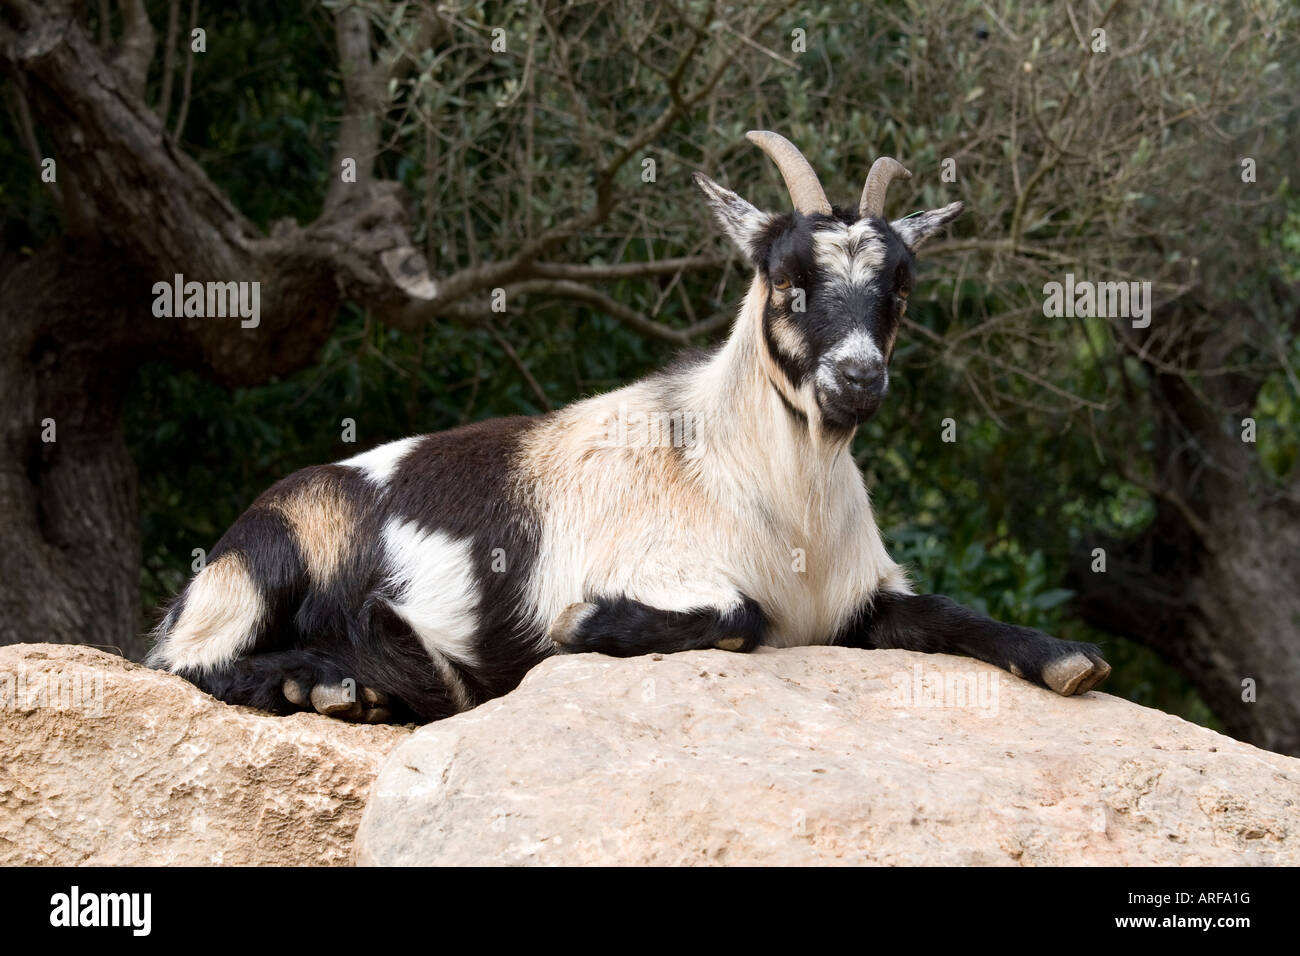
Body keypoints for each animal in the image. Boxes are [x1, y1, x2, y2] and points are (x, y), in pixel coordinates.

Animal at [147, 131, 1111, 723]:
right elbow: (736, 614)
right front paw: (585, 625)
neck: (755, 485)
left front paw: (1068, 659)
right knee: (186, 665)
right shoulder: (673, 571)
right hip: (268, 561)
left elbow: (948, 612)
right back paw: (326, 684)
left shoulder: (859, 601)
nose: (858, 378)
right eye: (786, 280)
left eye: (899, 293)